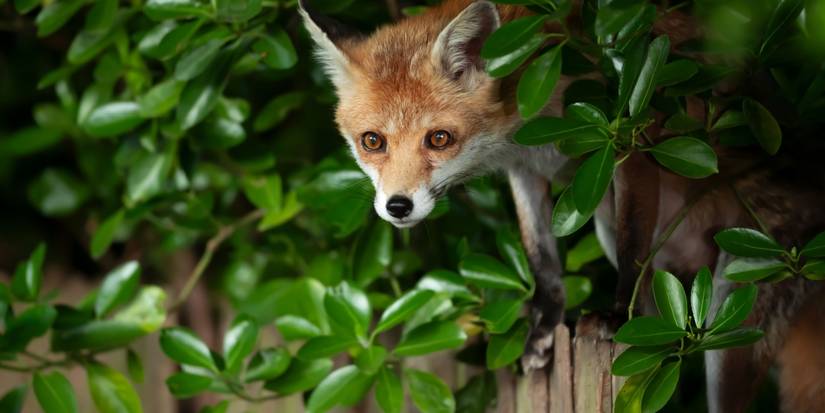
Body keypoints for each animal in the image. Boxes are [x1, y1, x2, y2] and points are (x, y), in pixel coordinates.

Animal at [298, 0, 825, 411]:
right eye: (372, 141)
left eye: (439, 139)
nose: (398, 206)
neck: (528, 99)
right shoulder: (524, 169)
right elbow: (541, 259)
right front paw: (544, 330)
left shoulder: (629, 138)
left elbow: (633, 247)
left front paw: (616, 315)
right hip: (616, 232)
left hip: (731, 316)